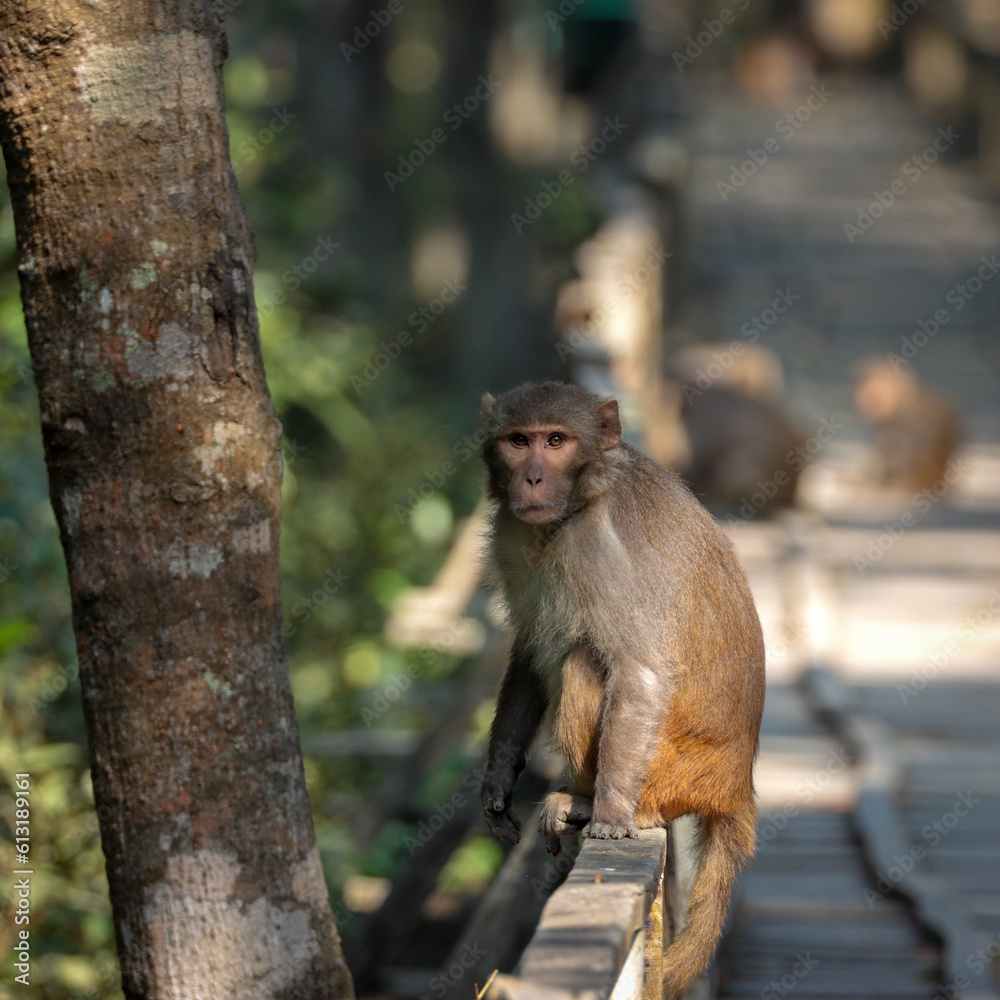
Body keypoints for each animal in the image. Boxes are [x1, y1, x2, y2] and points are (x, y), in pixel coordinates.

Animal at [478, 381, 765, 998]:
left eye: (556, 441)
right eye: (519, 441)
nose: (531, 479)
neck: (579, 500)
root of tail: (734, 785)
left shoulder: (597, 547)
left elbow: (640, 669)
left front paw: (609, 810)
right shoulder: (513, 532)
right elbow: (529, 653)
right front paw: (497, 780)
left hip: (671, 771)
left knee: (585, 663)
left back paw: (594, 801)